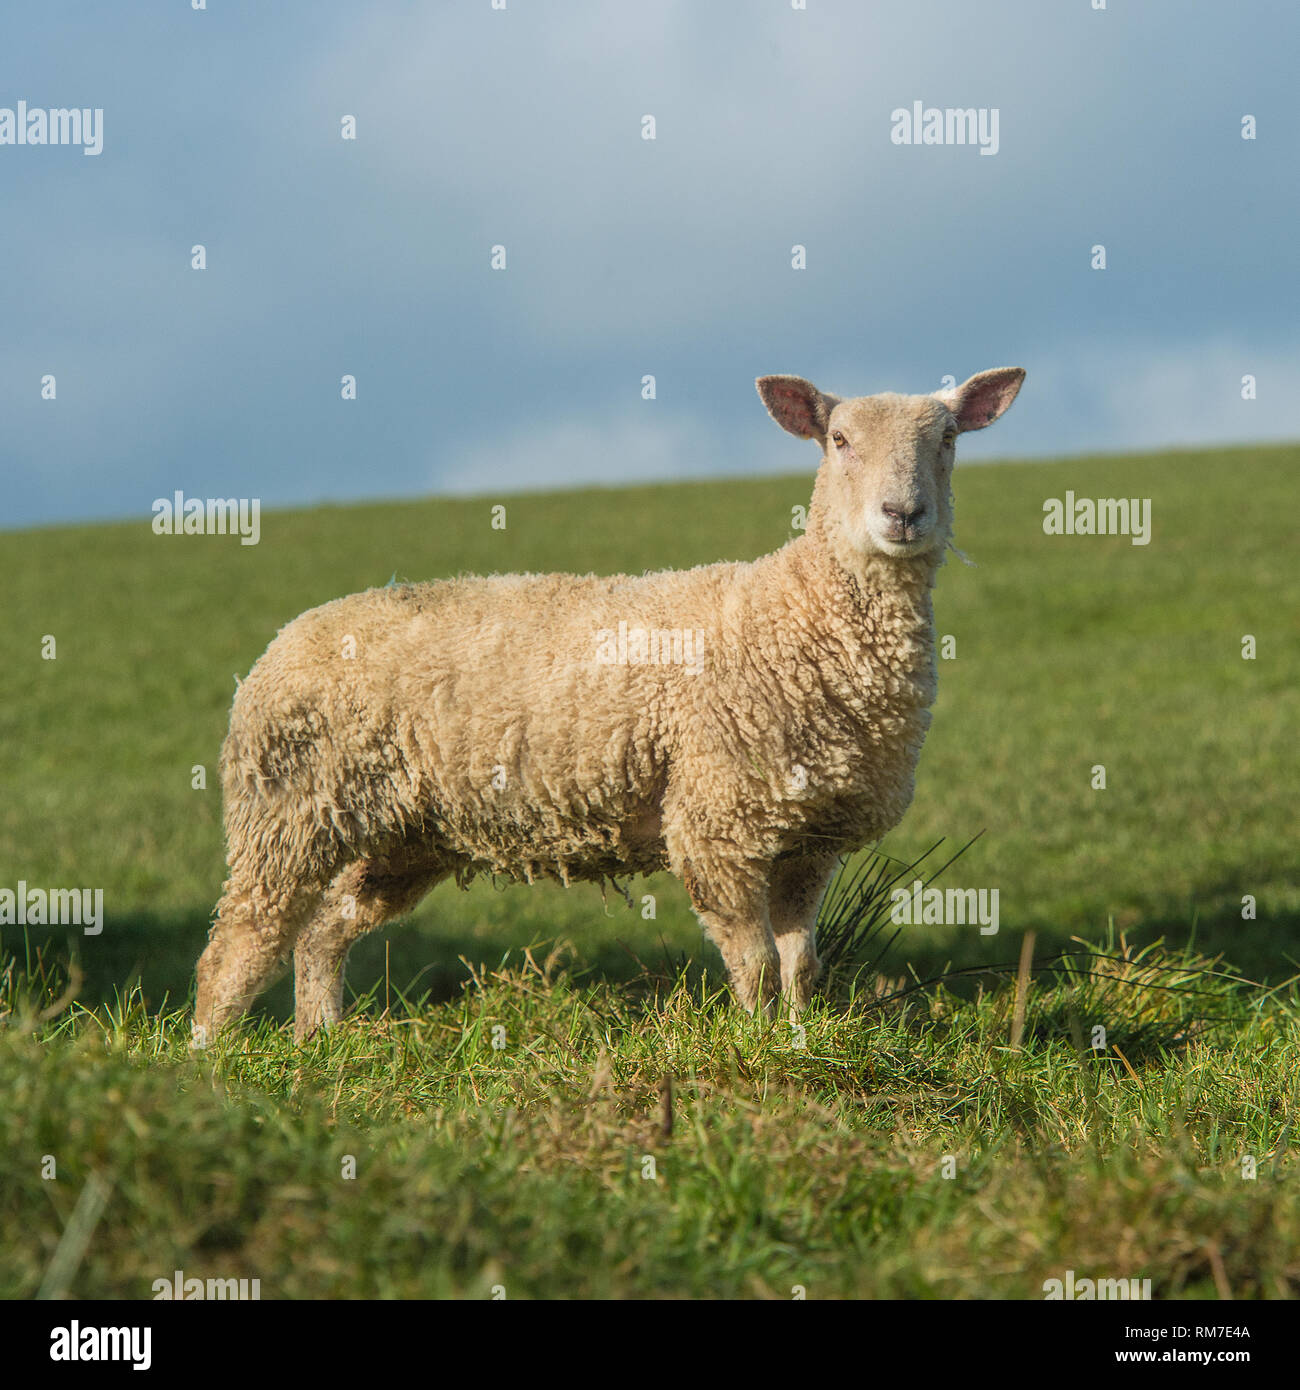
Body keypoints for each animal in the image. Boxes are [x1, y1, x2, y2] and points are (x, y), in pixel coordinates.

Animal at [192, 366, 1025, 1045]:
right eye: (840, 439)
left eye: (949, 438)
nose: (902, 514)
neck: (796, 612)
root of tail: (277, 646)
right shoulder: (715, 819)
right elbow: (755, 961)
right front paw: (757, 1047)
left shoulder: (809, 838)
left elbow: (801, 964)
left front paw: (798, 1037)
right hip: (288, 809)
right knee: (238, 945)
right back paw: (213, 1057)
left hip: (402, 836)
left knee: (321, 933)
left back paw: (320, 1043)